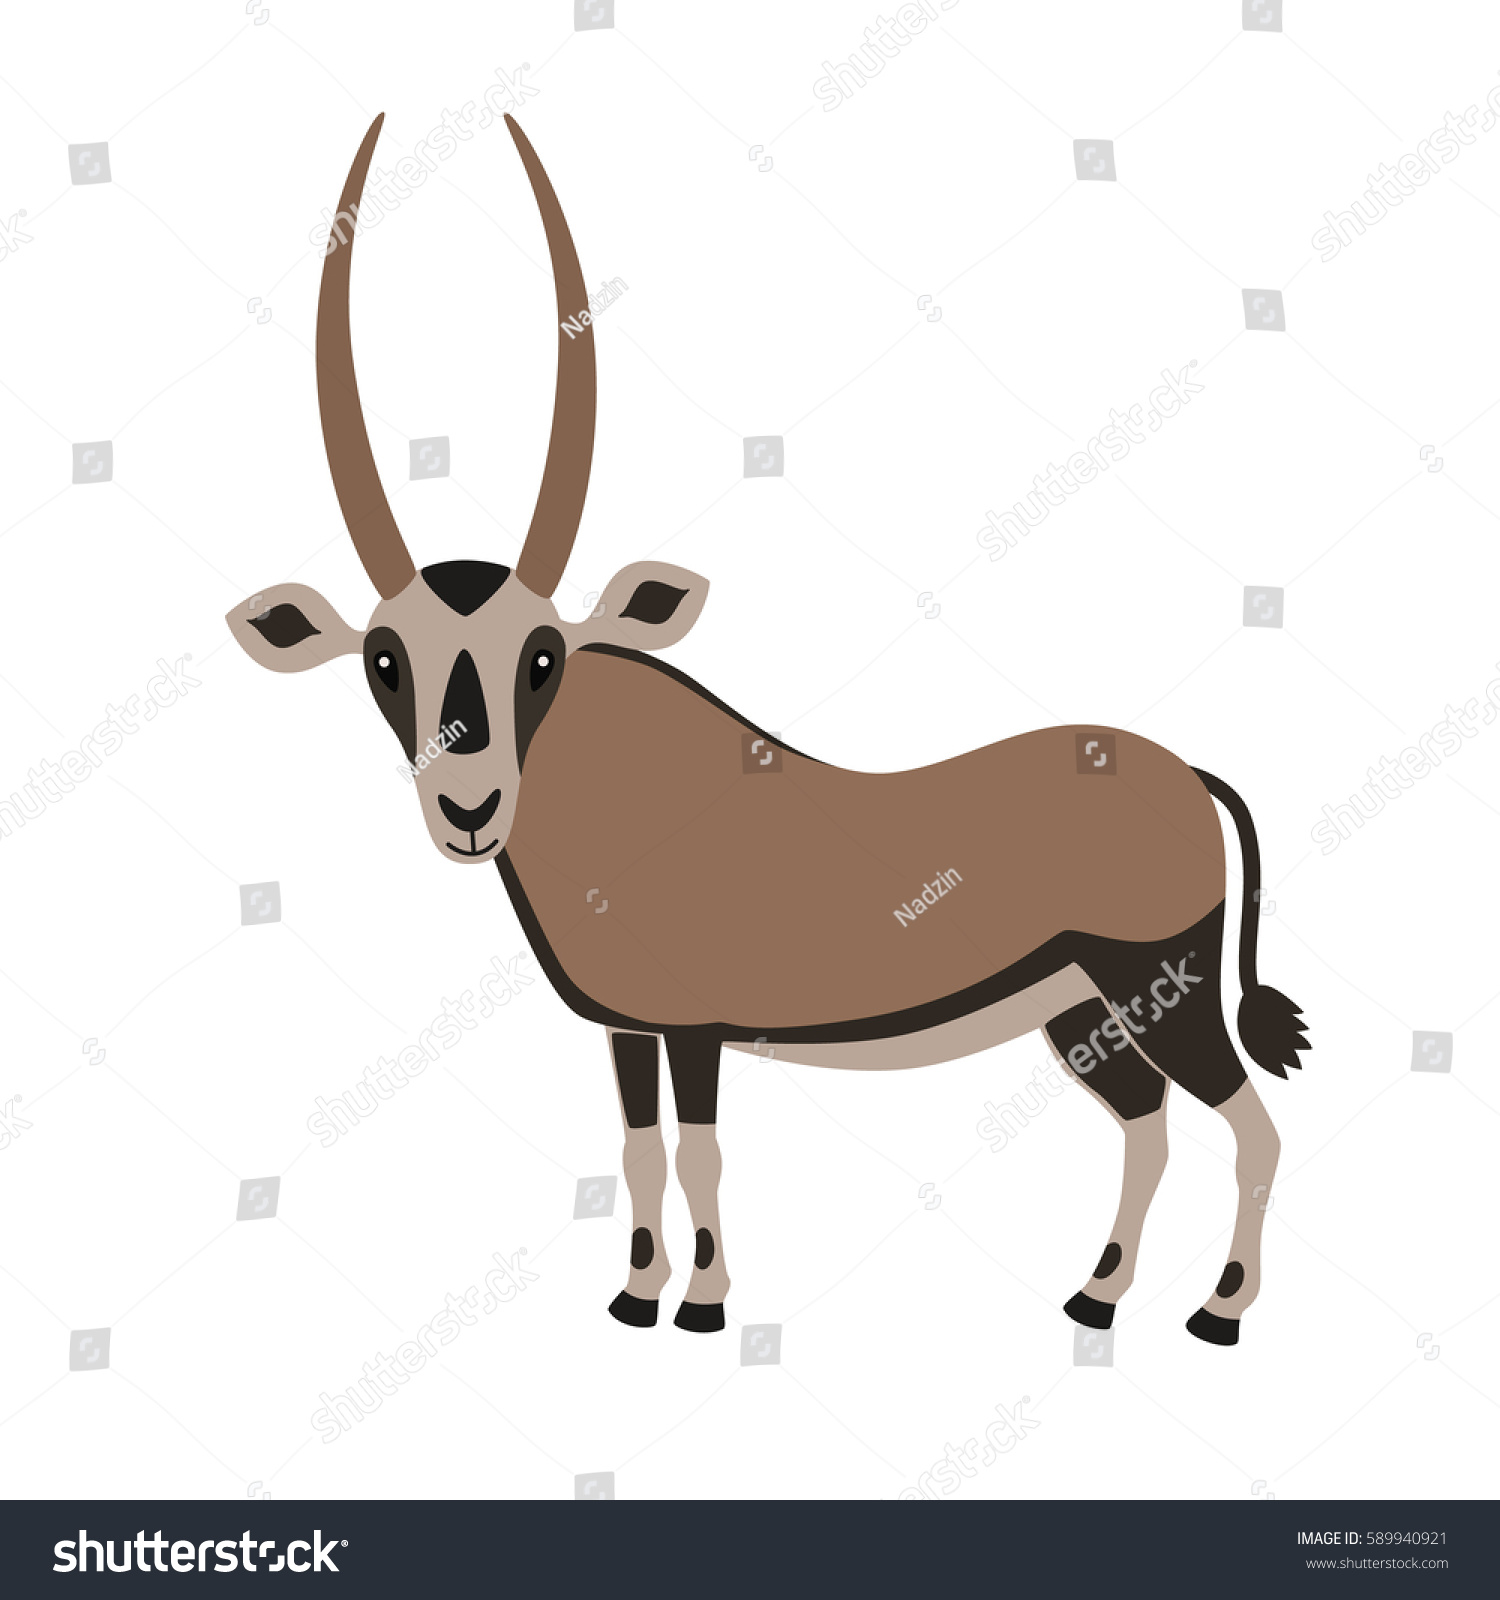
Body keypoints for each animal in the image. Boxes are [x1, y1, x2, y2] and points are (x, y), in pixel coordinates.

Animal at [229, 115, 1309, 1347]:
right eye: (383, 657)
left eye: (543, 655)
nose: (468, 808)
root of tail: (1190, 775)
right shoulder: (629, 1030)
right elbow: (639, 1149)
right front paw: (633, 1294)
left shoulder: (697, 1027)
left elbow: (699, 1152)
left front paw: (701, 1303)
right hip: (1082, 1006)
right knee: (1147, 1123)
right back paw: (1098, 1294)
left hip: (1155, 982)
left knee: (1251, 1122)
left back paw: (1219, 1311)